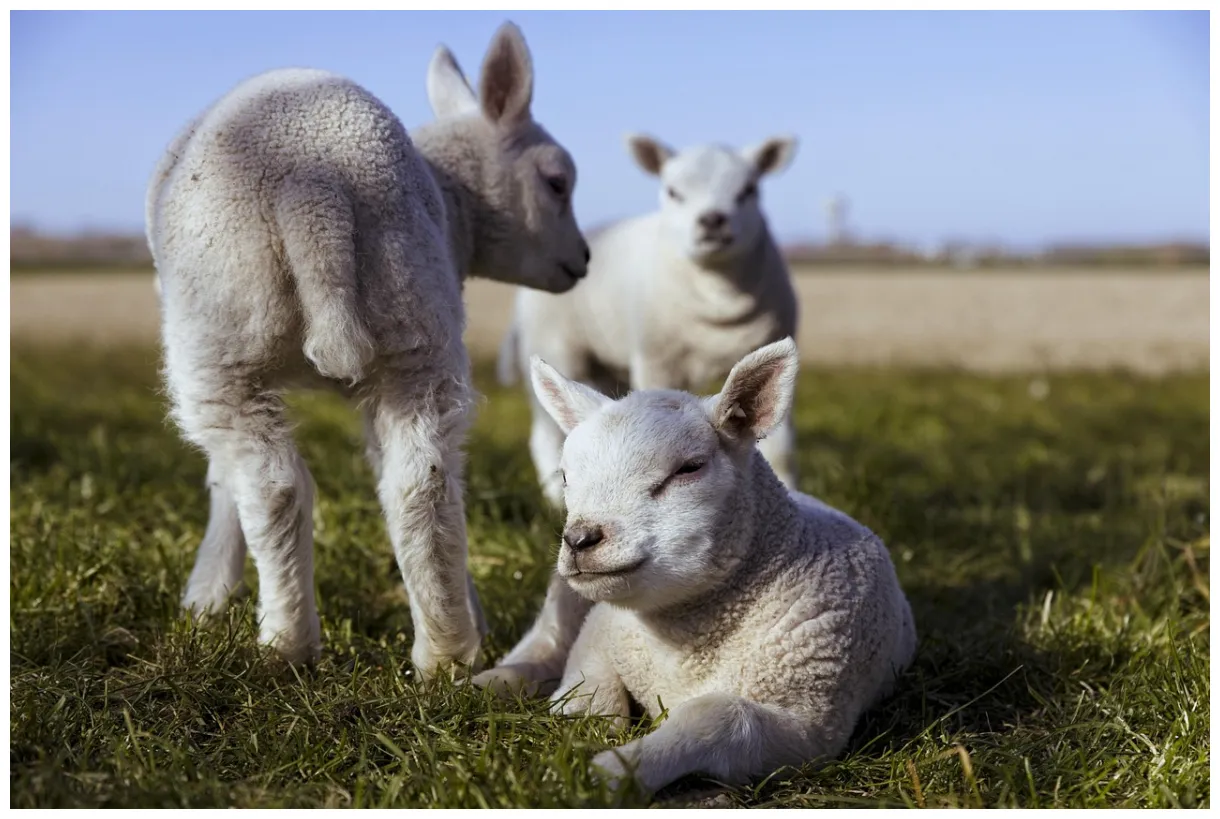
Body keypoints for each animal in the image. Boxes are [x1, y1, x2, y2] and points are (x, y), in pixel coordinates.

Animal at [145, 21, 590, 677]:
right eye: (557, 183)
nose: (583, 259)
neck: (456, 203)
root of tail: (315, 188)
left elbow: (223, 482)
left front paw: (206, 594)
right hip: (414, 320)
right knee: (420, 483)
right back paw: (446, 650)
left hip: (220, 339)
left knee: (271, 486)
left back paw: (287, 644)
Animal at [497, 133, 802, 510]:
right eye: (673, 192)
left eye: (748, 190)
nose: (712, 220)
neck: (717, 297)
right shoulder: (656, 359)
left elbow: (782, 448)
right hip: (553, 343)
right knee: (545, 434)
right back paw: (555, 498)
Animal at [503, 338, 917, 796]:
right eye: (564, 477)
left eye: (689, 468)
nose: (579, 540)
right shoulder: (600, 630)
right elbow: (588, 692)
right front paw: (583, 730)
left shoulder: (811, 726)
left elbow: (715, 715)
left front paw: (608, 772)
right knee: (546, 640)